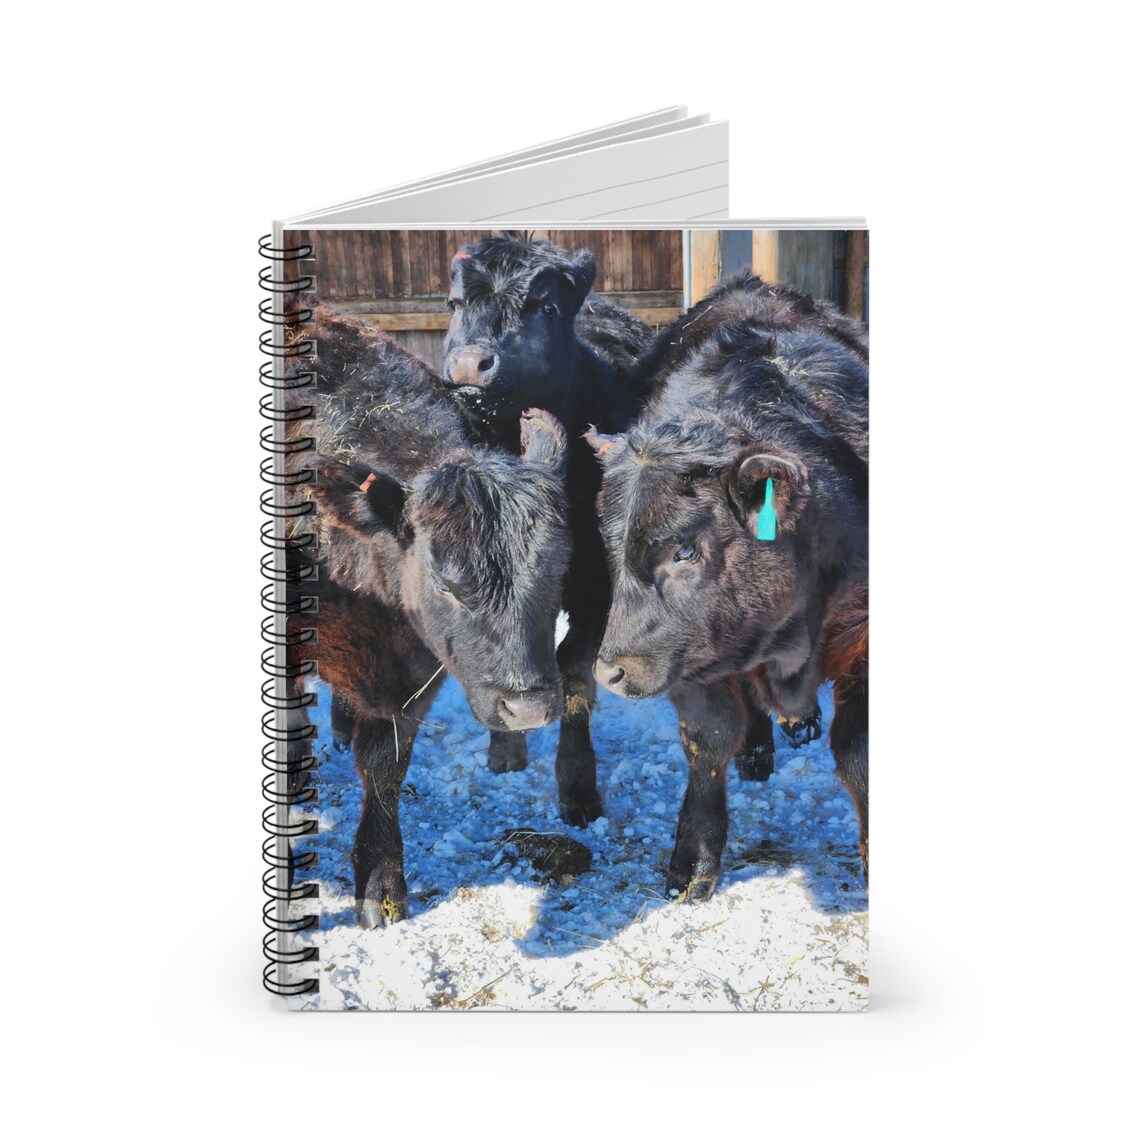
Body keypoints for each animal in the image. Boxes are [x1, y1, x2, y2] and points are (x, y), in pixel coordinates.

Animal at [284, 315, 573, 926]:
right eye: (443, 583)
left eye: (559, 565)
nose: (529, 708)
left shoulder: (413, 681)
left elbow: (385, 768)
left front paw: (382, 884)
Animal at [440, 234, 652, 824]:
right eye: (454, 304)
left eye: (546, 307)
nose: (469, 363)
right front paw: (504, 748)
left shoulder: (597, 587)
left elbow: (573, 672)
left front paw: (578, 788)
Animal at [589, 273, 869, 902]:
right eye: (610, 545)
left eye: (685, 550)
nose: (610, 671)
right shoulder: (692, 662)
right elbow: (709, 741)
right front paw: (692, 860)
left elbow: (859, 754)